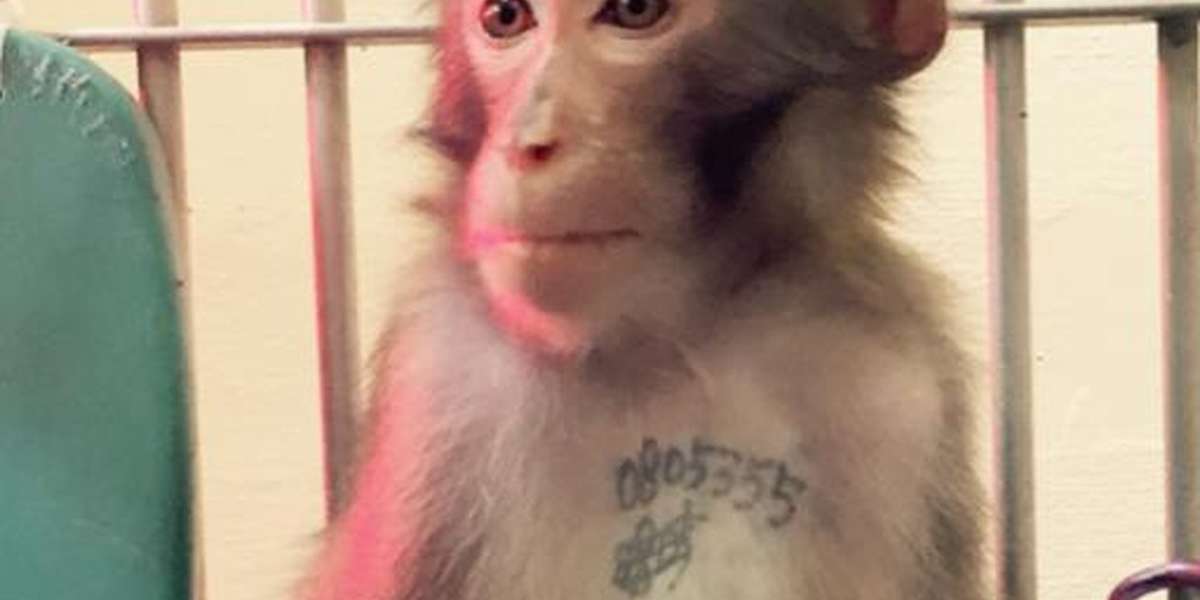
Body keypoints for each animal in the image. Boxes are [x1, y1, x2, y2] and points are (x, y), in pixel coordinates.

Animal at [302, 0, 986, 599]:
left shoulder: (900, 392)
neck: (676, 341)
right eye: (506, 17)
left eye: (635, 11)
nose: (526, 144)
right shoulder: (441, 386)